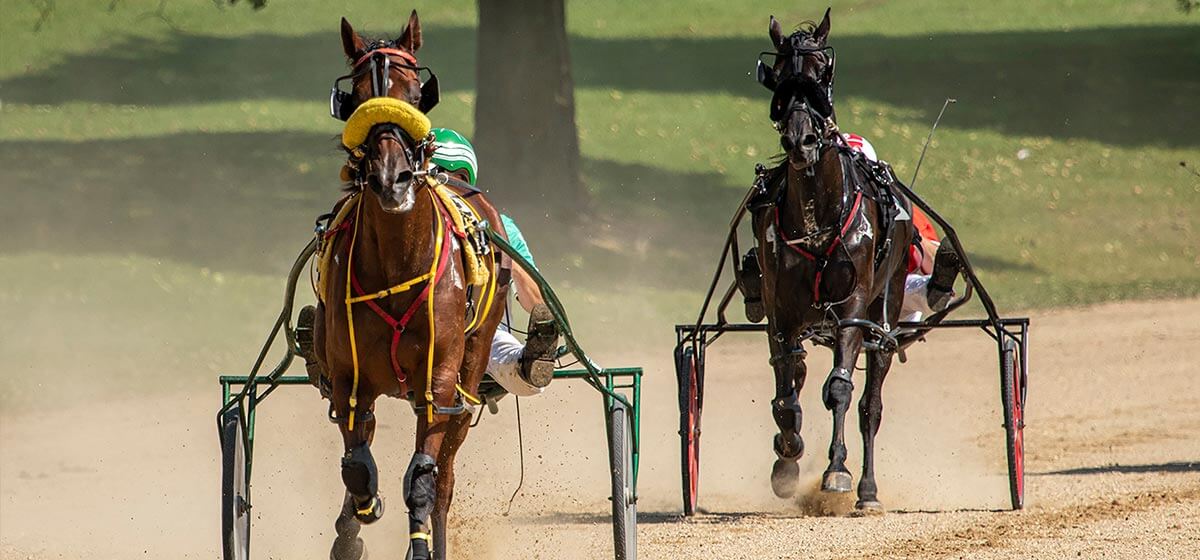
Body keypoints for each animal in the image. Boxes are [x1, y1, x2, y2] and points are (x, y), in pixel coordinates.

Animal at [309, 12, 509, 560]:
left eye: (416, 93)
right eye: (356, 97)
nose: (390, 178)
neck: (398, 263)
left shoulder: (439, 380)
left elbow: (422, 477)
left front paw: (418, 541)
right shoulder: (348, 377)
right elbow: (357, 467)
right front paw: (353, 527)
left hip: (470, 371)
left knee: (445, 475)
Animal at [746, 9, 915, 512]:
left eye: (822, 71)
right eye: (780, 75)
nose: (800, 140)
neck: (817, 217)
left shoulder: (853, 308)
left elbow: (840, 386)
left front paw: (837, 470)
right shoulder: (780, 311)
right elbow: (787, 395)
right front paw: (787, 458)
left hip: (886, 307)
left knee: (870, 403)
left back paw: (867, 488)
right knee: (798, 373)